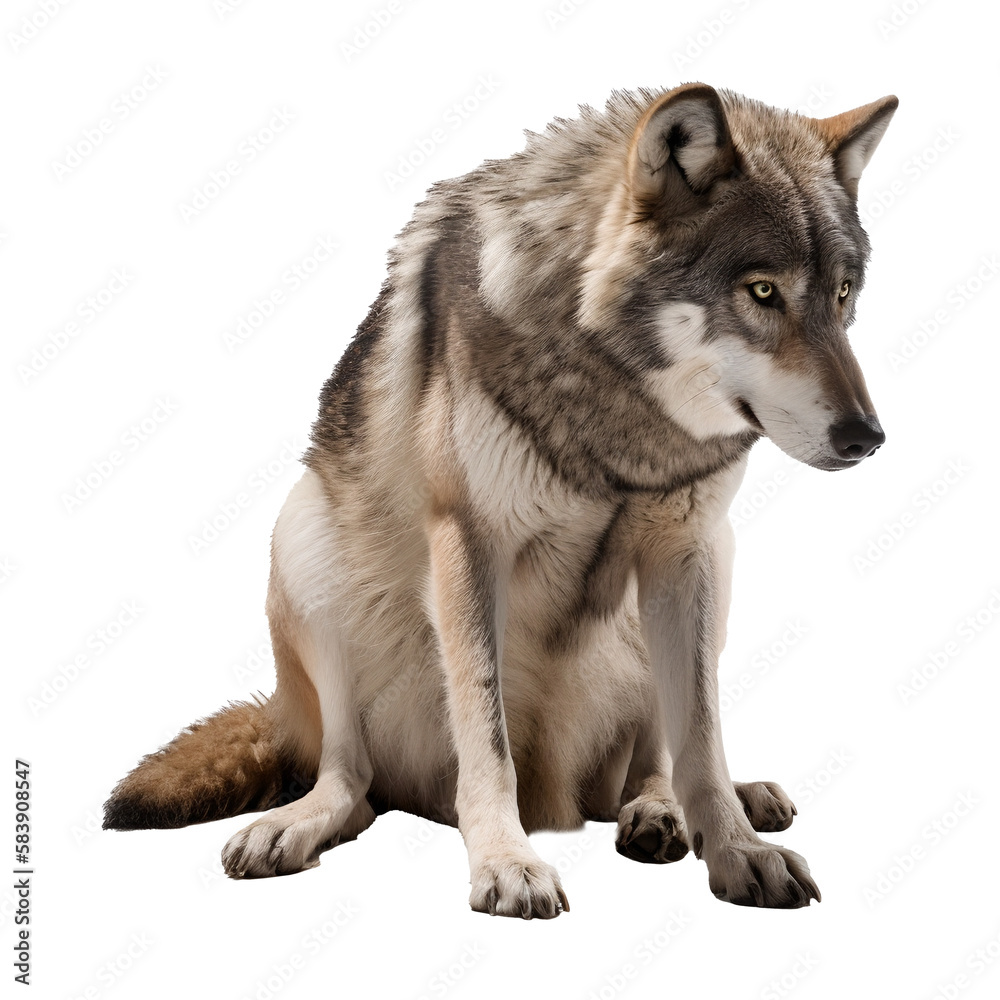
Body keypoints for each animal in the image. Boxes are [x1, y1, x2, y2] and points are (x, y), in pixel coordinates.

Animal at [104, 82, 897, 917]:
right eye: (763, 292)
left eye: (842, 295)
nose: (867, 436)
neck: (622, 424)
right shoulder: (468, 542)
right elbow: (484, 733)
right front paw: (505, 862)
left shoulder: (686, 550)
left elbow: (703, 742)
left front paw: (739, 850)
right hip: (302, 545)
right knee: (352, 784)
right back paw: (295, 824)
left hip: (714, 571)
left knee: (650, 766)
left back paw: (674, 812)